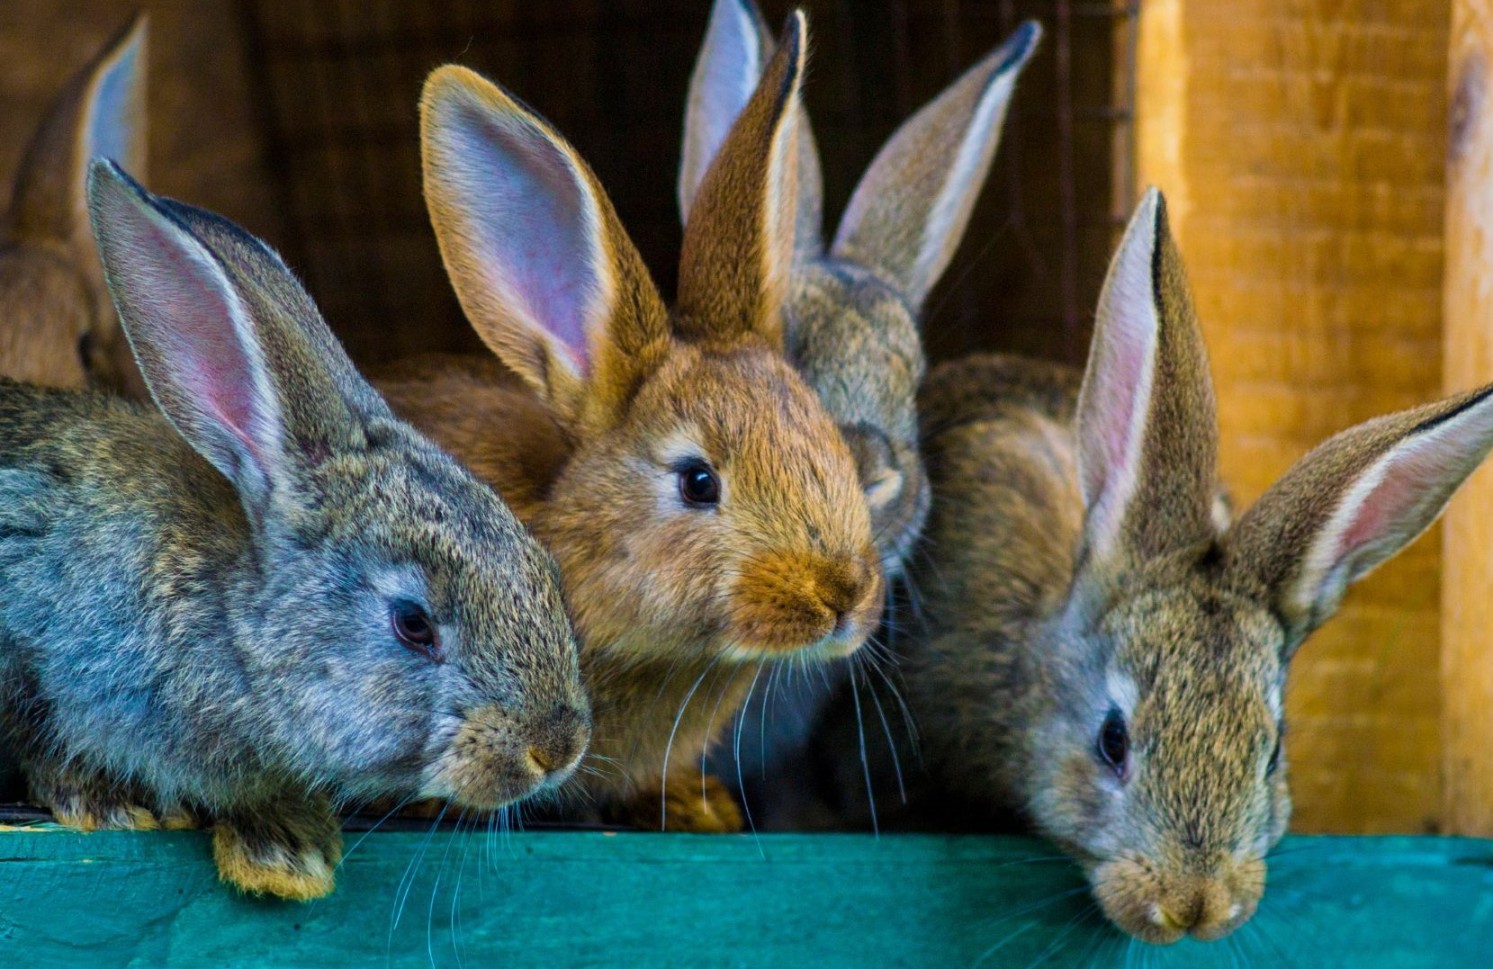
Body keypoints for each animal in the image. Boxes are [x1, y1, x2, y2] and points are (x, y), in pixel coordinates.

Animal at [0, 160, 590, 902]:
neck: (231, 627)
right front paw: (106, 801)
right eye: (412, 624)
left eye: (547, 573)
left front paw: (286, 842)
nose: (557, 749)